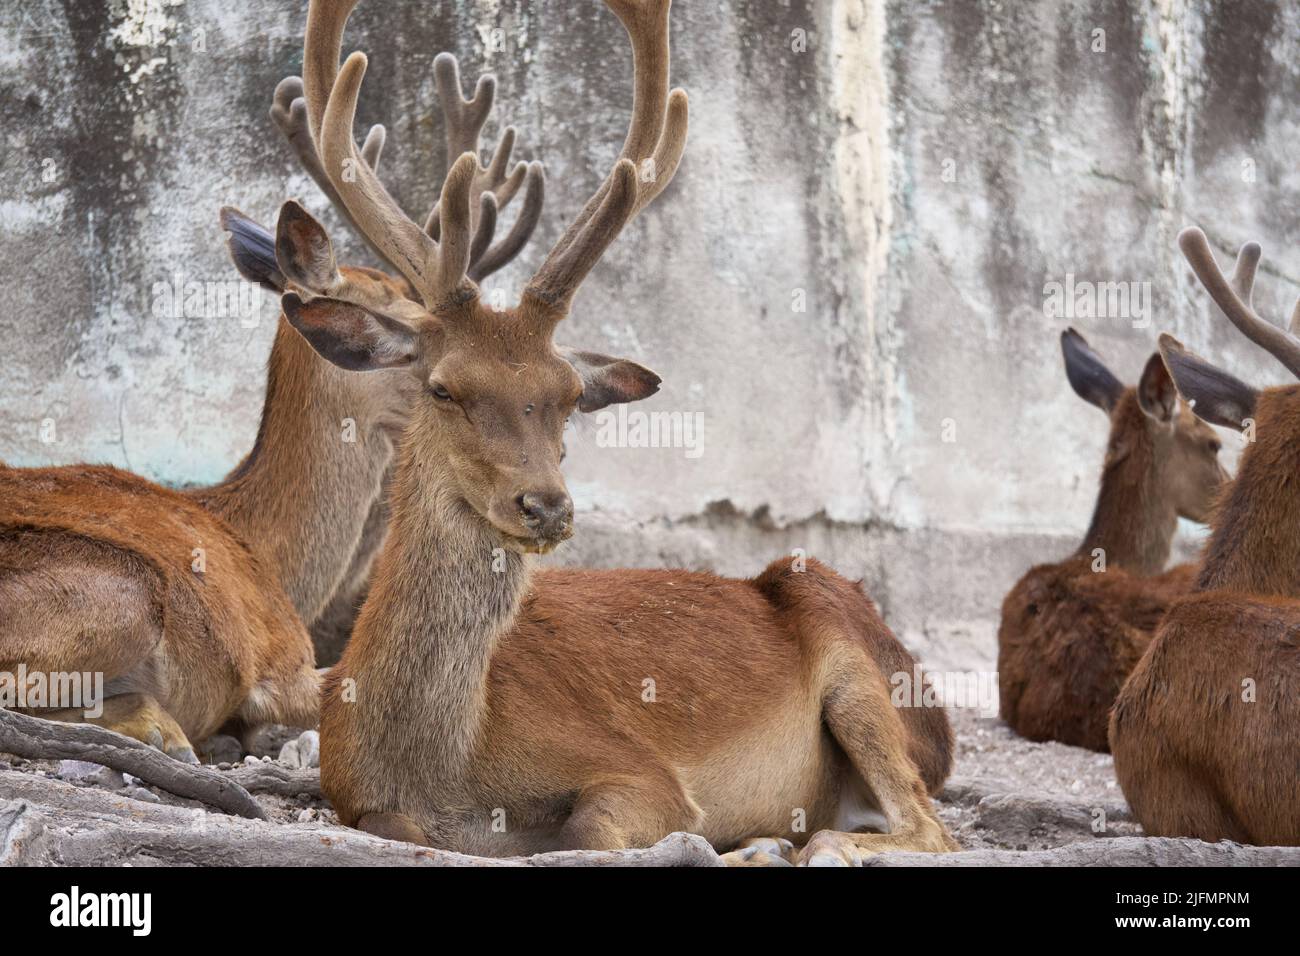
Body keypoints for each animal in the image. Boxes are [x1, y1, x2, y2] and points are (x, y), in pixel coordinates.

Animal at [294, 0, 956, 866]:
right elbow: (389, 822)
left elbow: (591, 827)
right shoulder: (351, 791)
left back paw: (795, 843)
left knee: (927, 824)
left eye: (570, 395)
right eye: (441, 386)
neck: (444, 769)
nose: (545, 506)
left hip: (853, 658)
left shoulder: (639, 769)